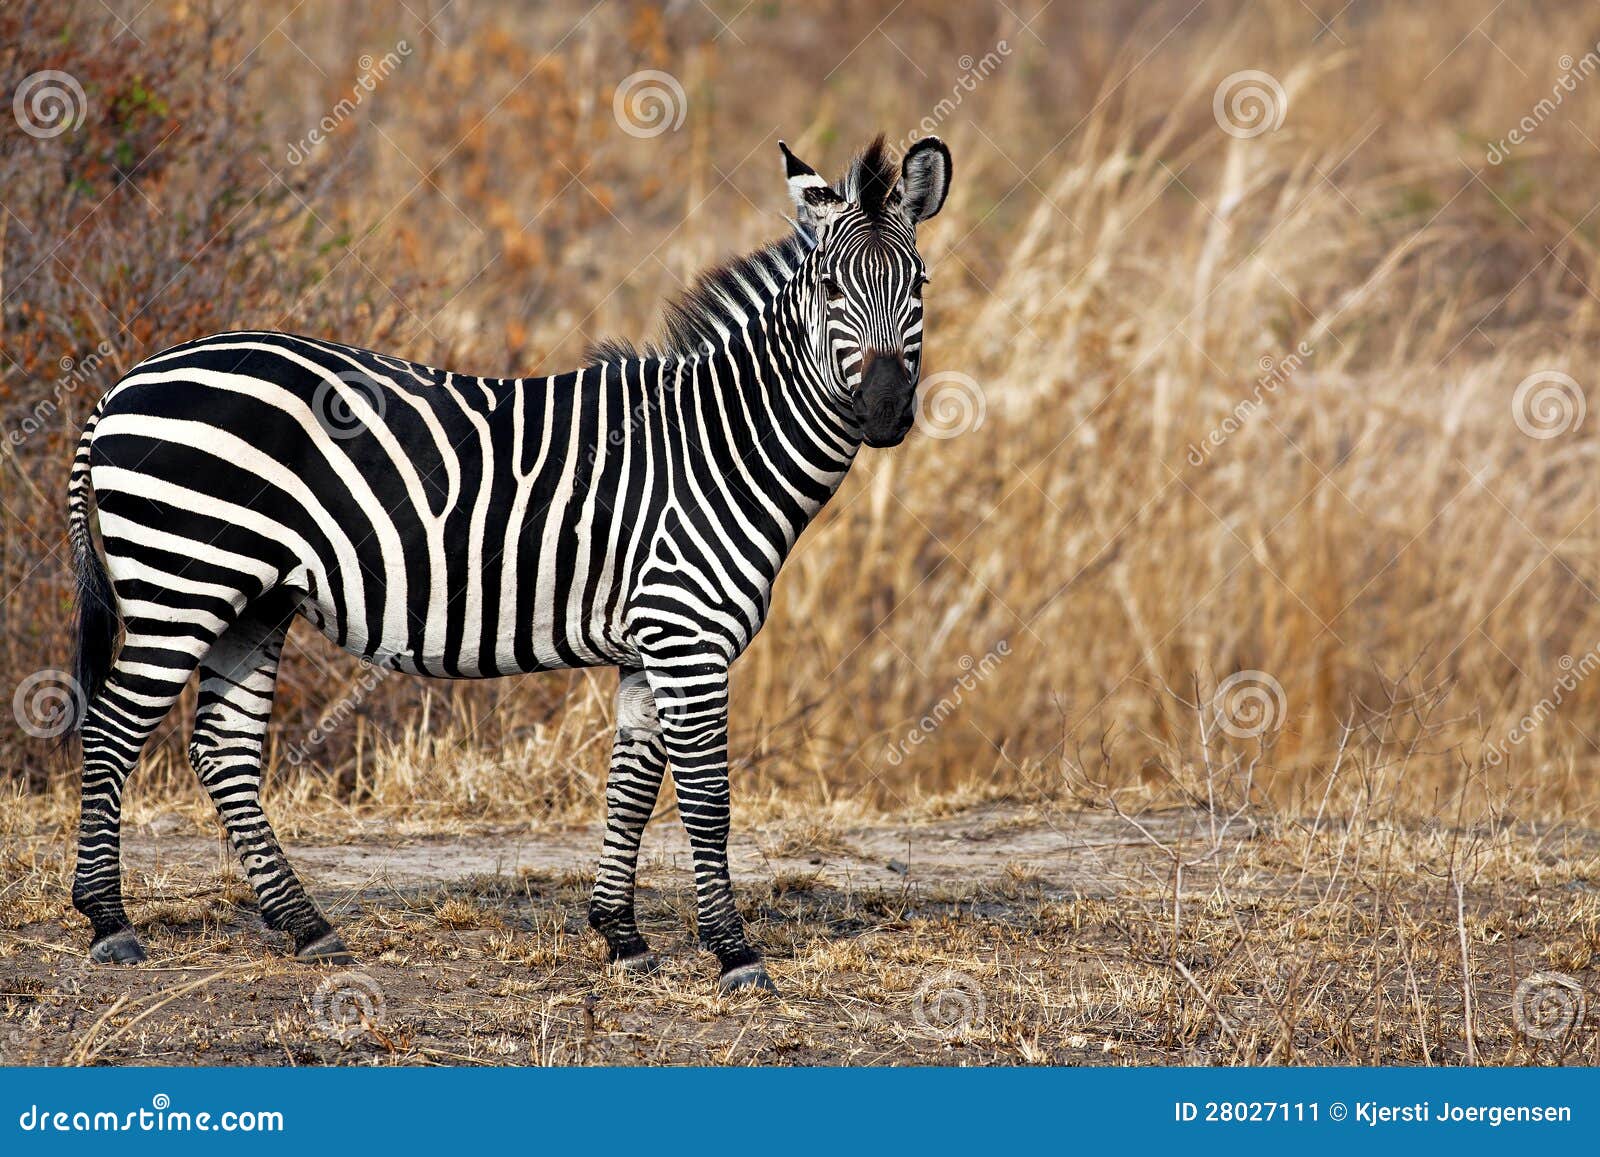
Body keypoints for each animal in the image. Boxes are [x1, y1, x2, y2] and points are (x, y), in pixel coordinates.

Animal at [65, 134, 952, 993]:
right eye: (830, 286)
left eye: (919, 283)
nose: (883, 411)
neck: (720, 445)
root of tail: (120, 387)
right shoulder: (687, 635)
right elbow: (706, 798)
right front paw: (734, 953)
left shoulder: (650, 642)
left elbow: (631, 787)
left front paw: (621, 937)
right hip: (183, 580)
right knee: (110, 728)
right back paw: (110, 921)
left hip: (251, 598)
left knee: (223, 749)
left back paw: (306, 925)